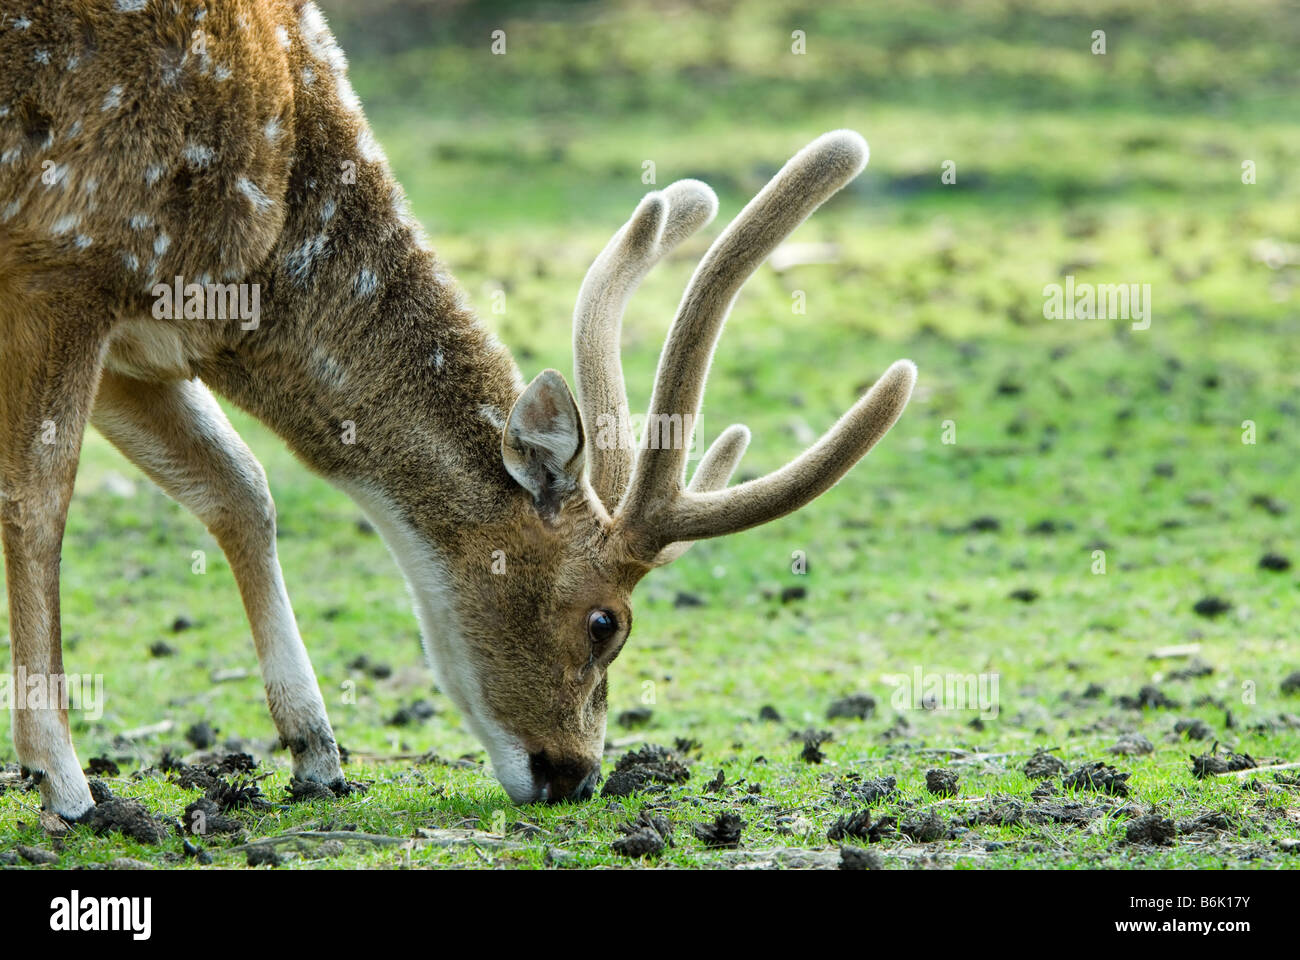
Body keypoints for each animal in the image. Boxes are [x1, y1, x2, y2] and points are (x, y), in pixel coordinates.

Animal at [0, 0, 915, 818]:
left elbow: (238, 489)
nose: (574, 774)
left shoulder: (133, 345)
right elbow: (37, 505)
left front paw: (316, 754)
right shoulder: (67, 255)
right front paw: (63, 783)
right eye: (605, 624)